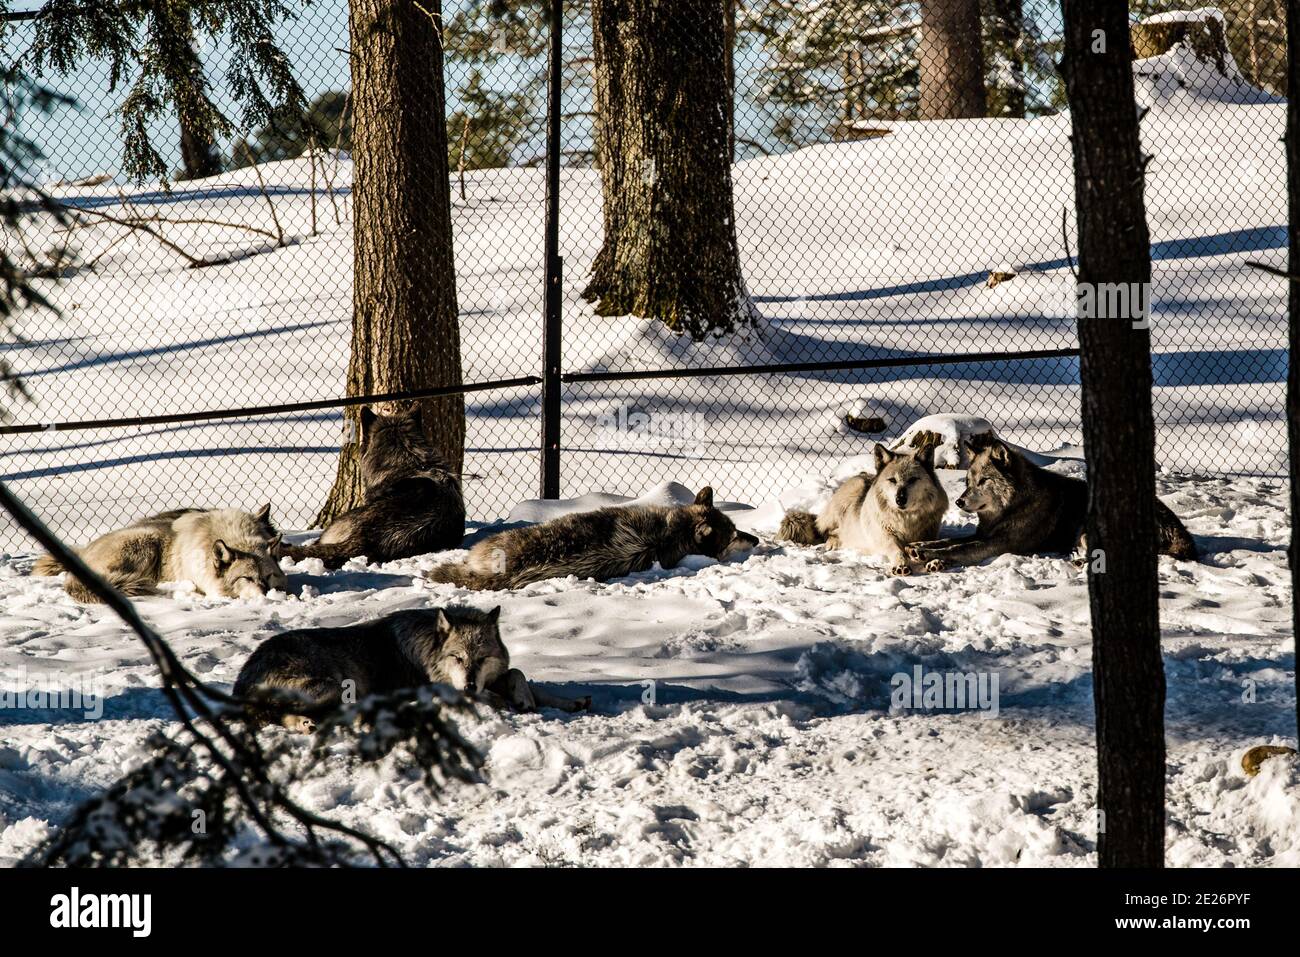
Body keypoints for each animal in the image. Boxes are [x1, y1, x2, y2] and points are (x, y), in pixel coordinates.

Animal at [233, 606, 588, 731]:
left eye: (480, 659)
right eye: (458, 658)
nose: (470, 685)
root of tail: (241, 681)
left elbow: (518, 674)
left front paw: (568, 701)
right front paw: (505, 701)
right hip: (335, 685)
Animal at [777, 442, 949, 576]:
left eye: (913, 480)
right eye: (892, 480)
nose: (900, 499)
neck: (906, 519)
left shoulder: (929, 535)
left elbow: (929, 546)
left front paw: (933, 560)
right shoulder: (885, 537)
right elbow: (897, 550)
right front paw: (901, 565)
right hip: (851, 492)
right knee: (825, 531)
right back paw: (834, 541)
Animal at [906, 438, 1199, 570]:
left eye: (984, 481)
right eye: (968, 480)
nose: (959, 500)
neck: (1016, 504)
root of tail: (1184, 538)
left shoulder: (997, 543)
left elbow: (958, 548)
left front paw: (930, 556)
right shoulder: (983, 534)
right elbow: (949, 541)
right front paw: (919, 547)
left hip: (1088, 526)